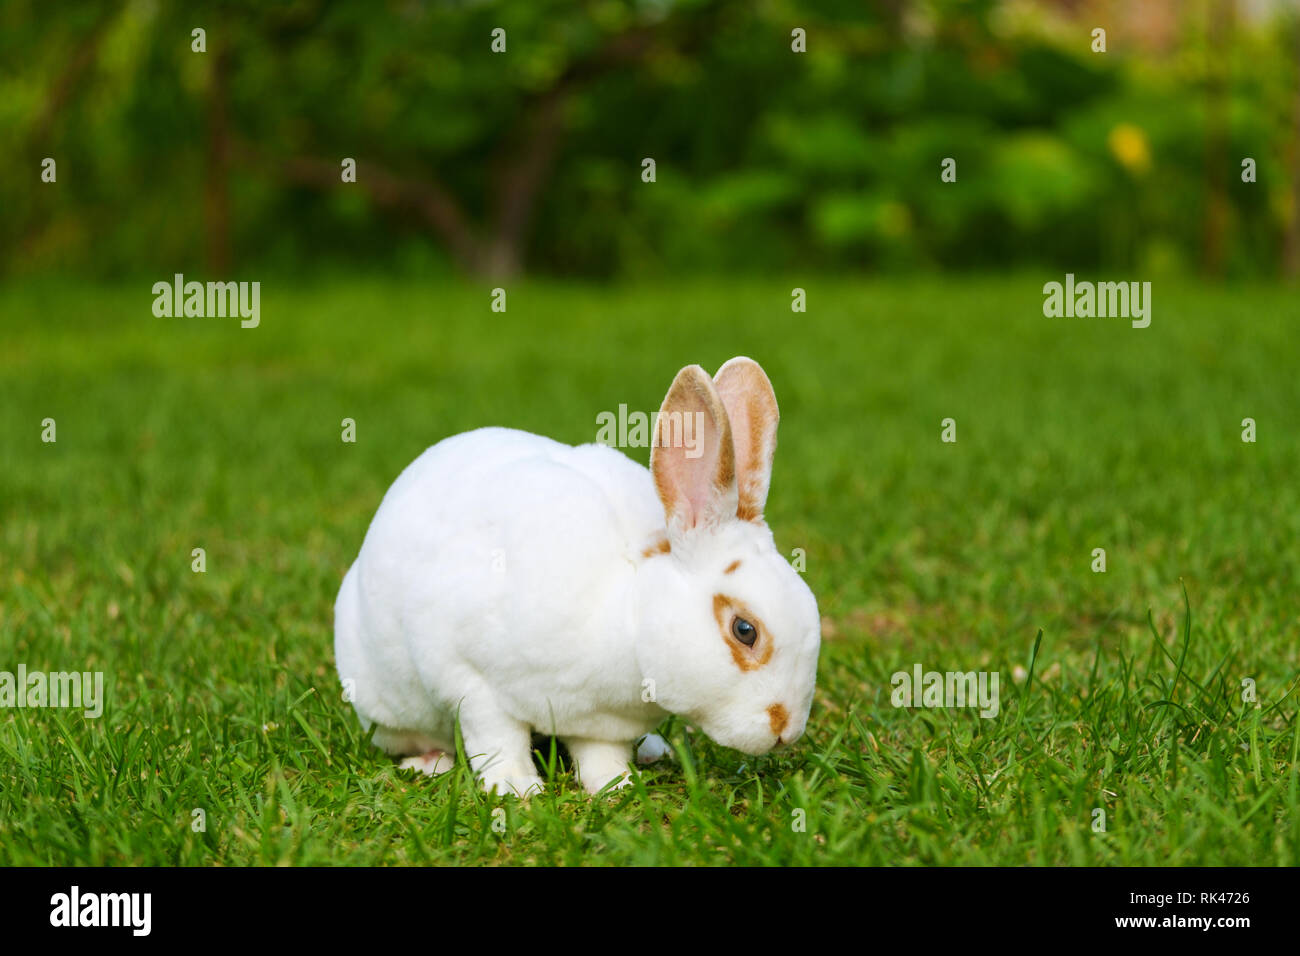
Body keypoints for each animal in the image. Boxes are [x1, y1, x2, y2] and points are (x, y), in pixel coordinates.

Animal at [334, 357, 821, 796]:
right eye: (745, 630)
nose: (786, 730)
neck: (631, 612)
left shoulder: (598, 724)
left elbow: (599, 755)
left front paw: (617, 785)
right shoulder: (469, 676)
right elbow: (497, 739)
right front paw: (516, 789)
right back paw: (429, 762)